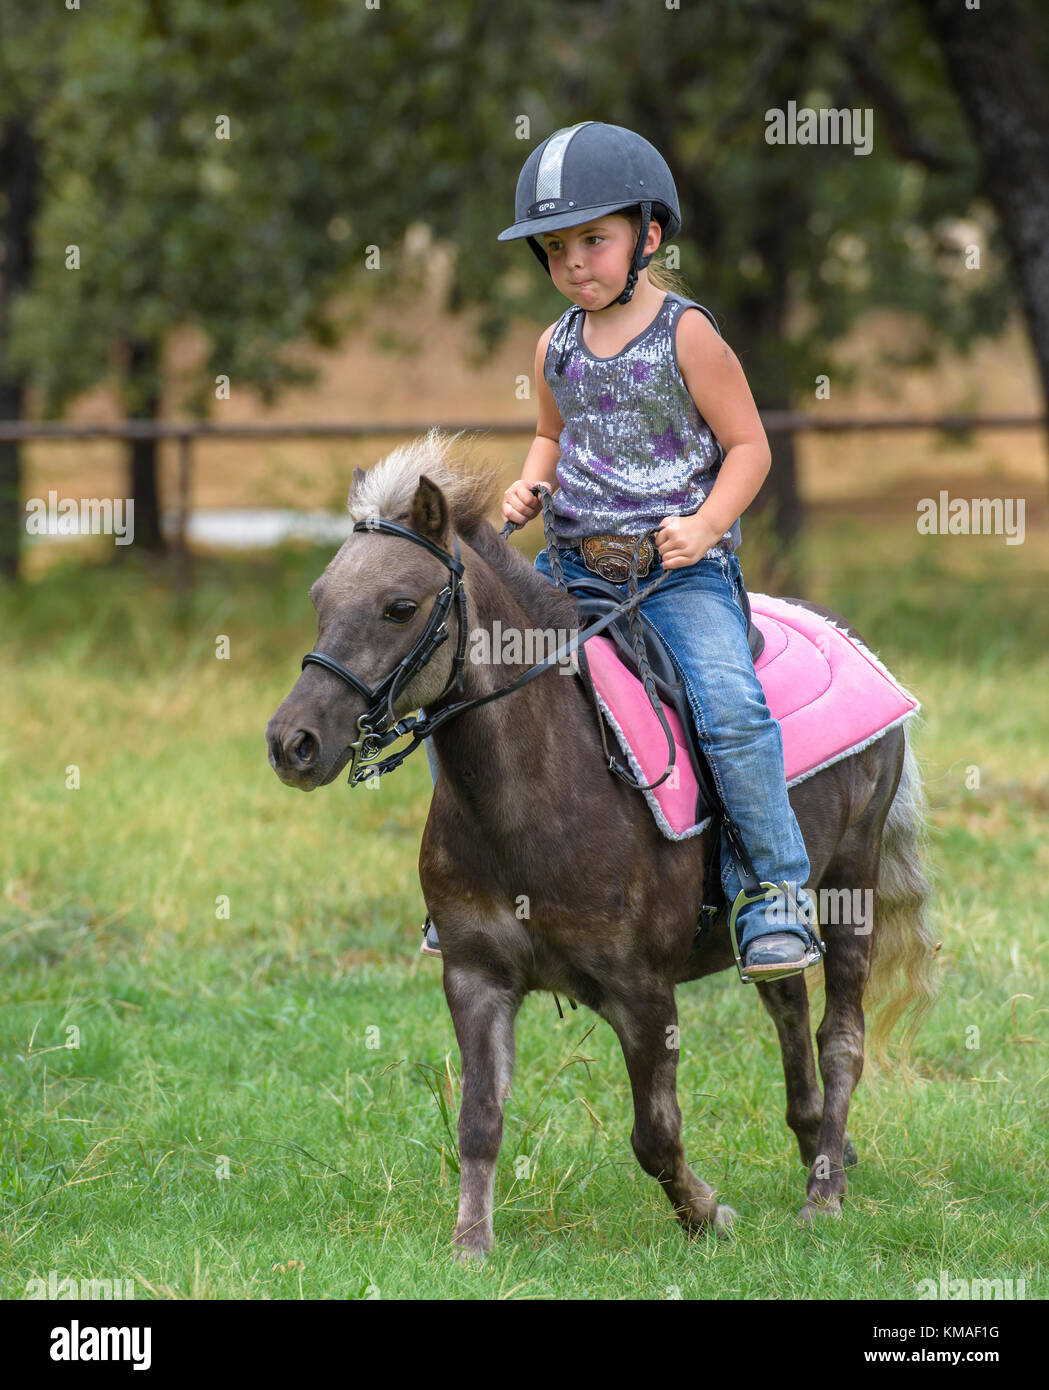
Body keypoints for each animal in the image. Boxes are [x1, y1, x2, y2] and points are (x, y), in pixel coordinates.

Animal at [265, 431, 938, 1260]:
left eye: (398, 607)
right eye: (320, 601)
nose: (292, 743)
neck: (537, 792)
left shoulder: (640, 992)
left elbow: (654, 1134)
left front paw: (706, 1213)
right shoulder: (474, 976)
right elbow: (478, 1120)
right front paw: (470, 1245)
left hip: (852, 880)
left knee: (839, 1033)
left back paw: (824, 1194)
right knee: (785, 998)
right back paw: (820, 1146)